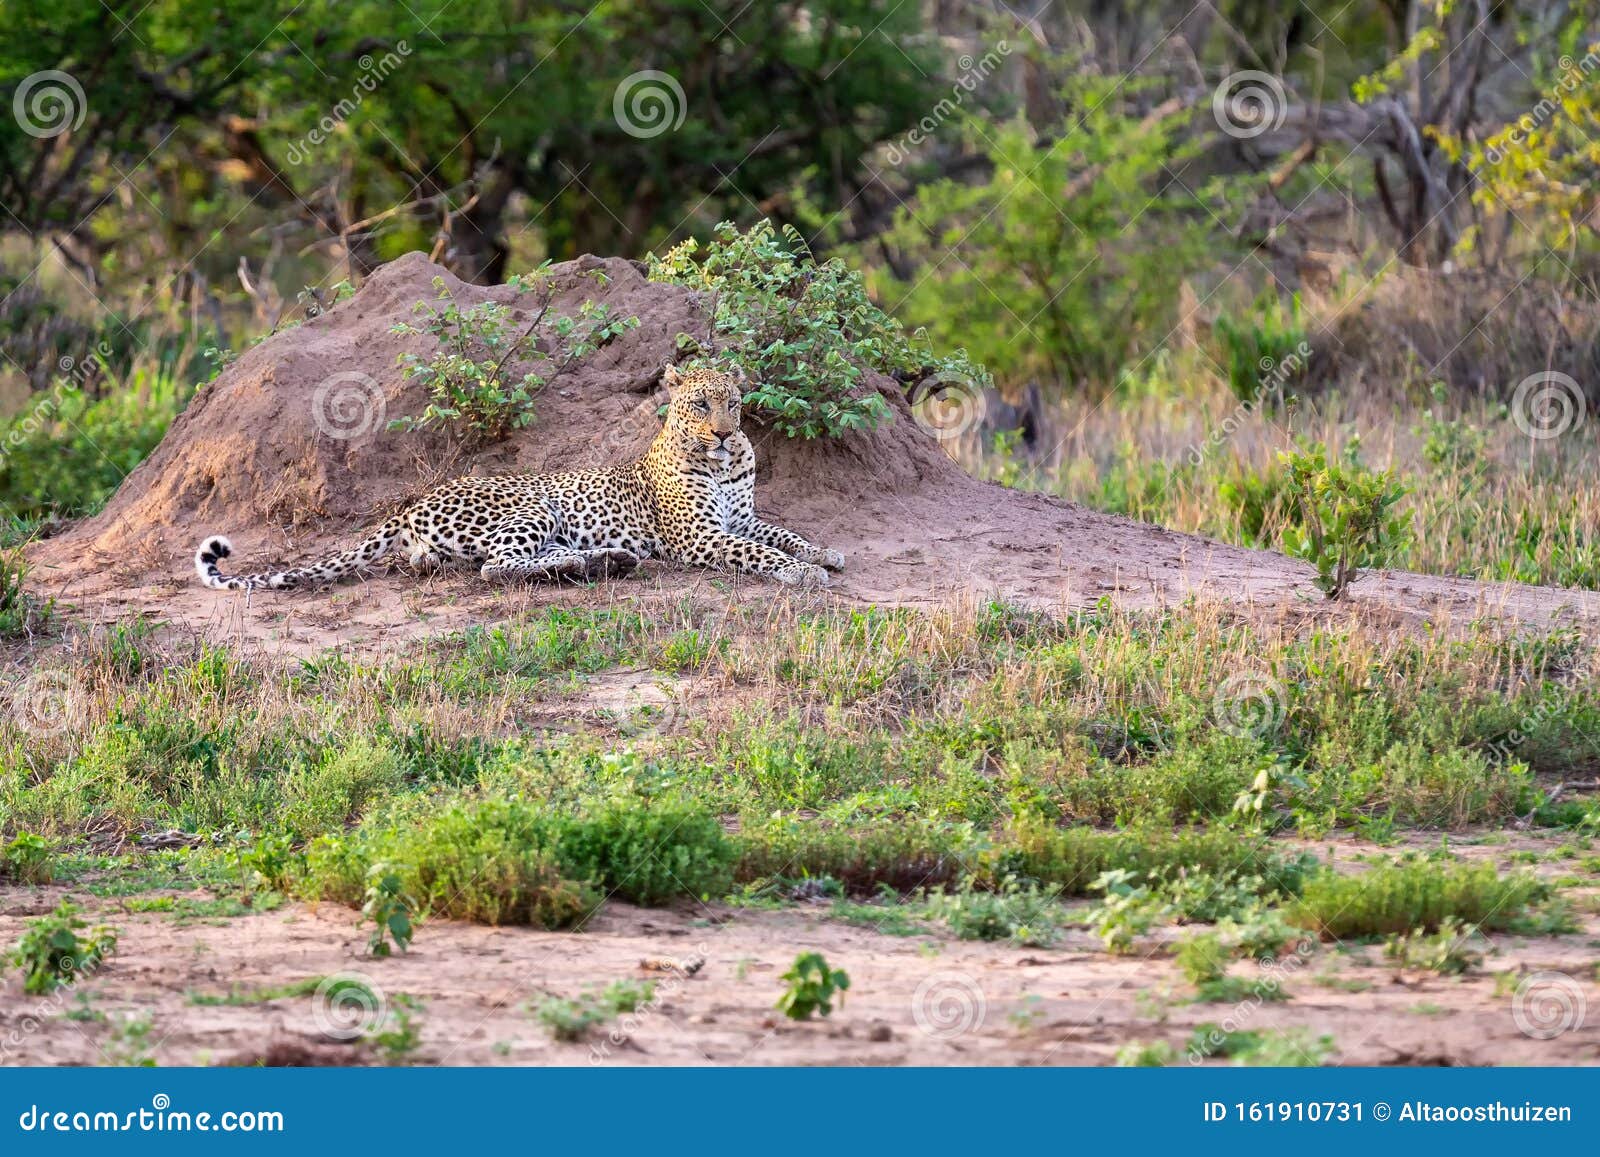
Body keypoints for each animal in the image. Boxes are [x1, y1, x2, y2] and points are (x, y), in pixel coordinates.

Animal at [194, 362, 845, 592]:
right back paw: (589, 566)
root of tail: (411, 505)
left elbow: (780, 533)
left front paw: (824, 552)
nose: (724, 434)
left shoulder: (743, 517)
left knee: (499, 560)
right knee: (497, 566)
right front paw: (806, 573)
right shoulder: (701, 536)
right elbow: (758, 554)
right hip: (532, 507)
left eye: (732, 404)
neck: (724, 463)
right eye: (699, 405)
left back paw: (606, 561)